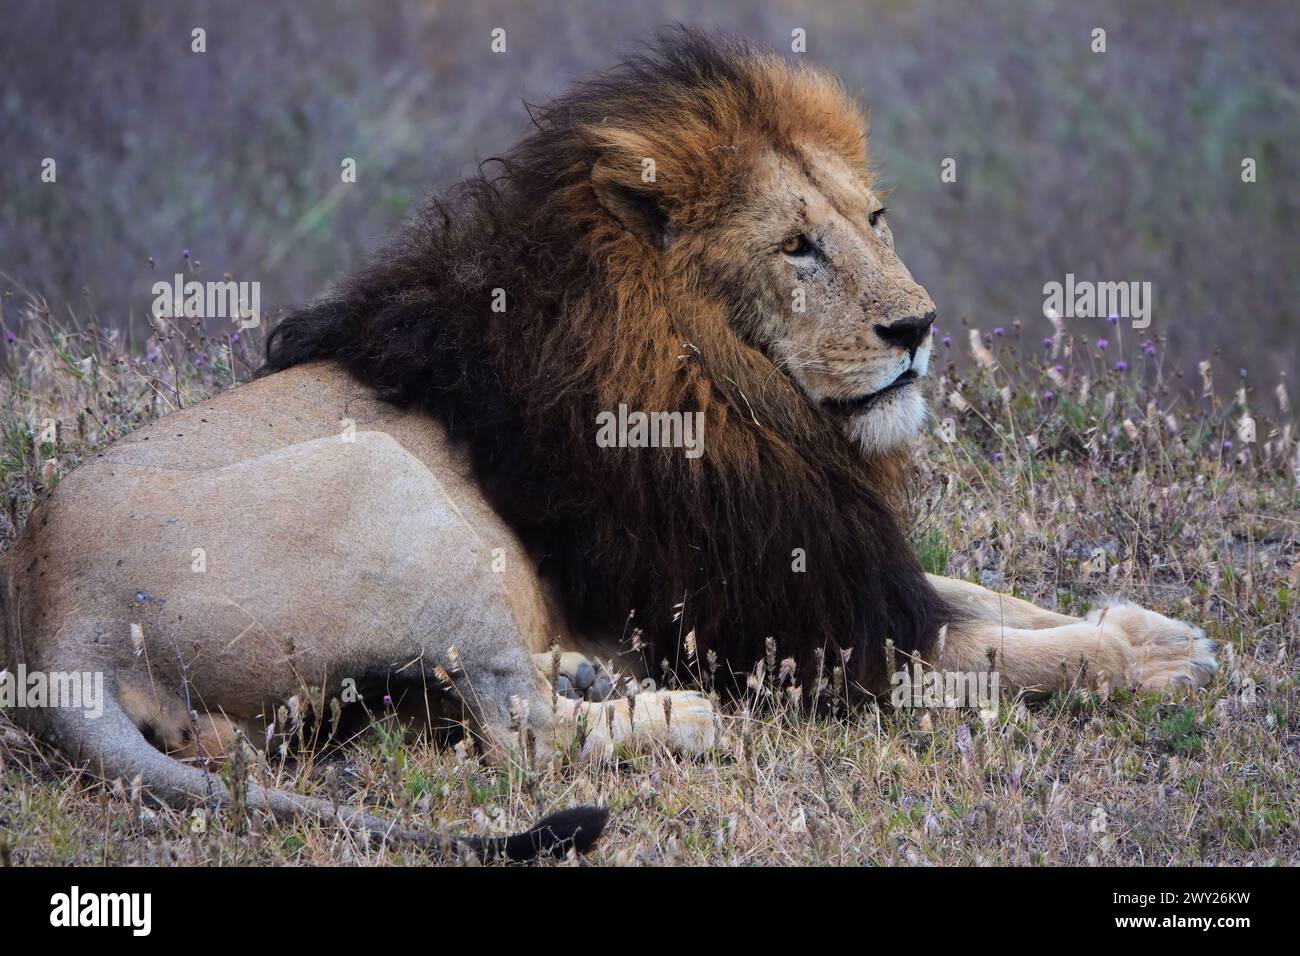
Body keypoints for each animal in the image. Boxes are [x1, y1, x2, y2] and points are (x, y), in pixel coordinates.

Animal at [0, 30, 1216, 855]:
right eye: (796, 247)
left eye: (874, 221)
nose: (916, 328)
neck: (742, 402)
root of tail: (55, 629)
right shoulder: (797, 633)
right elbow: (1018, 651)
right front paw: (1143, 660)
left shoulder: (836, 567)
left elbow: (994, 599)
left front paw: (1153, 626)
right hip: (381, 478)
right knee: (519, 737)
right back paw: (673, 714)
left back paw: (583, 670)